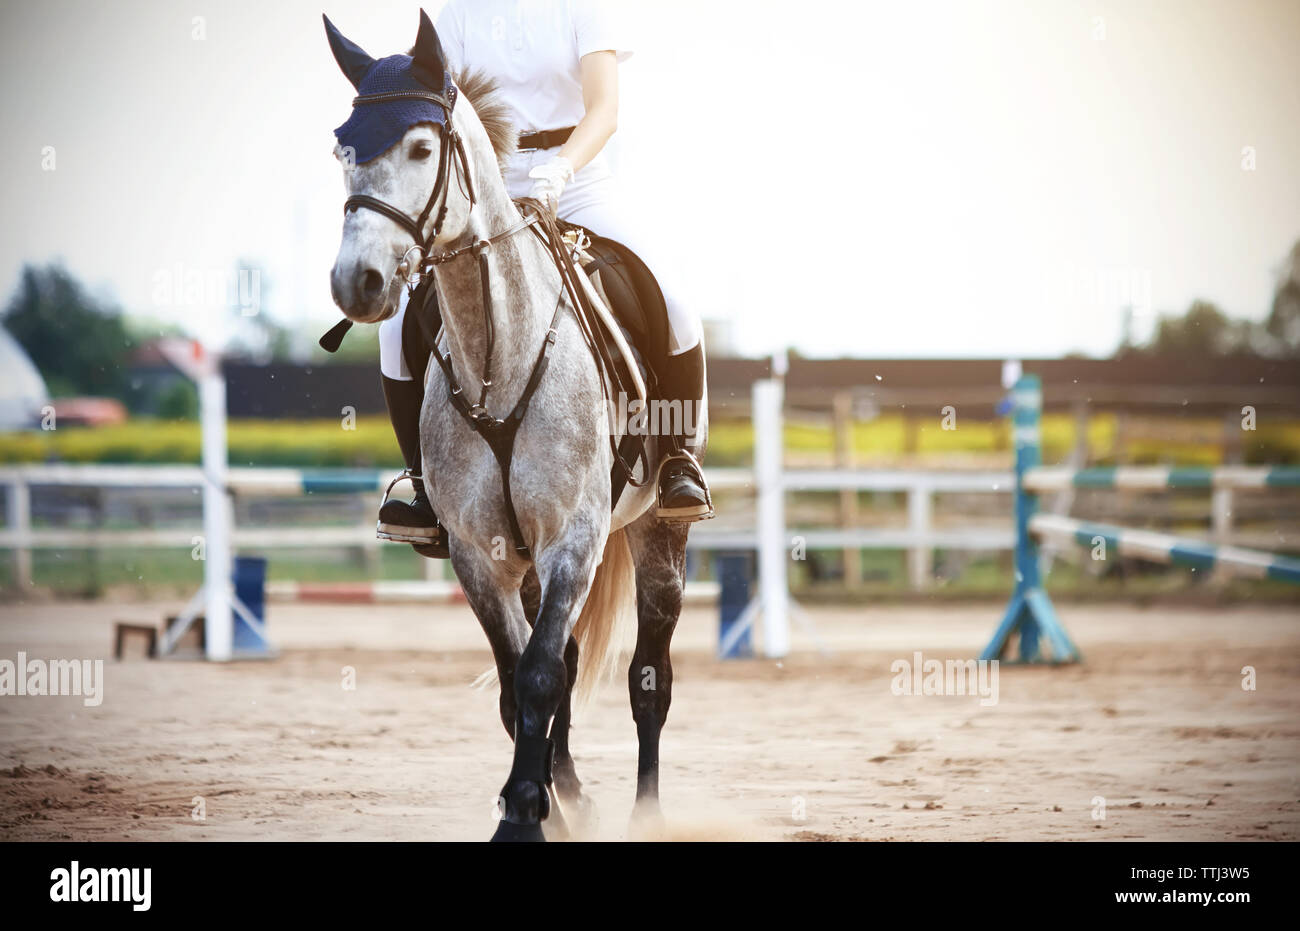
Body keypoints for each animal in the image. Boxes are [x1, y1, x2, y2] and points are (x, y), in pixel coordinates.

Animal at [325, 11, 704, 841]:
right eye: (343, 148)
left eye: (421, 148)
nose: (357, 282)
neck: (499, 348)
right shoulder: (480, 552)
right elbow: (517, 679)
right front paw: (542, 805)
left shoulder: (573, 537)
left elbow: (538, 676)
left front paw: (525, 817)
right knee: (564, 659)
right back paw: (572, 791)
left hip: (656, 534)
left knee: (648, 679)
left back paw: (647, 812)